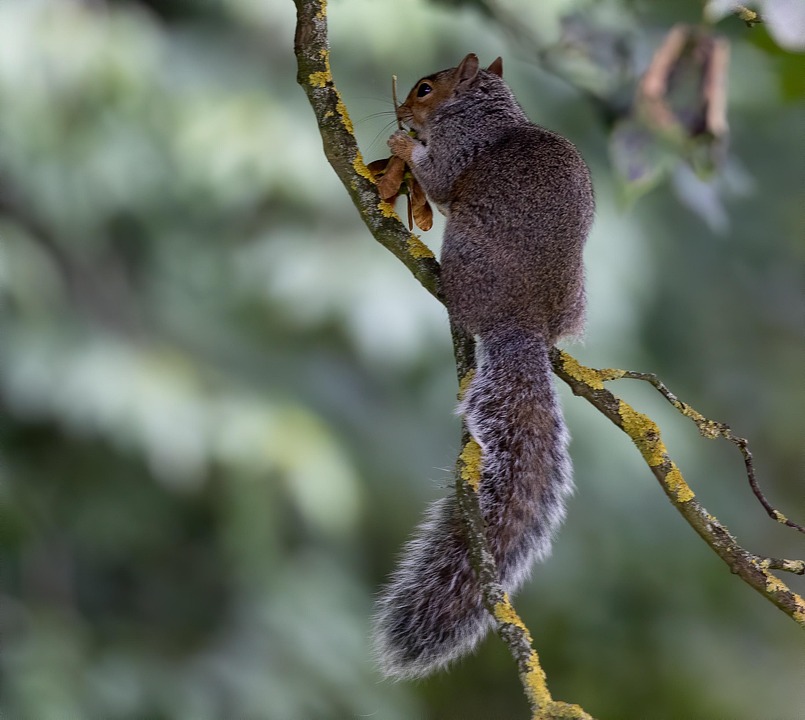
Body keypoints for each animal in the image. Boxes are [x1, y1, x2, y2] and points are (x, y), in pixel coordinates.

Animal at [372, 53, 595, 680]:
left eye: (426, 88)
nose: (402, 110)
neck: (489, 108)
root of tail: (523, 326)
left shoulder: (457, 147)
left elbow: (440, 178)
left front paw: (403, 145)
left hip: (462, 251)